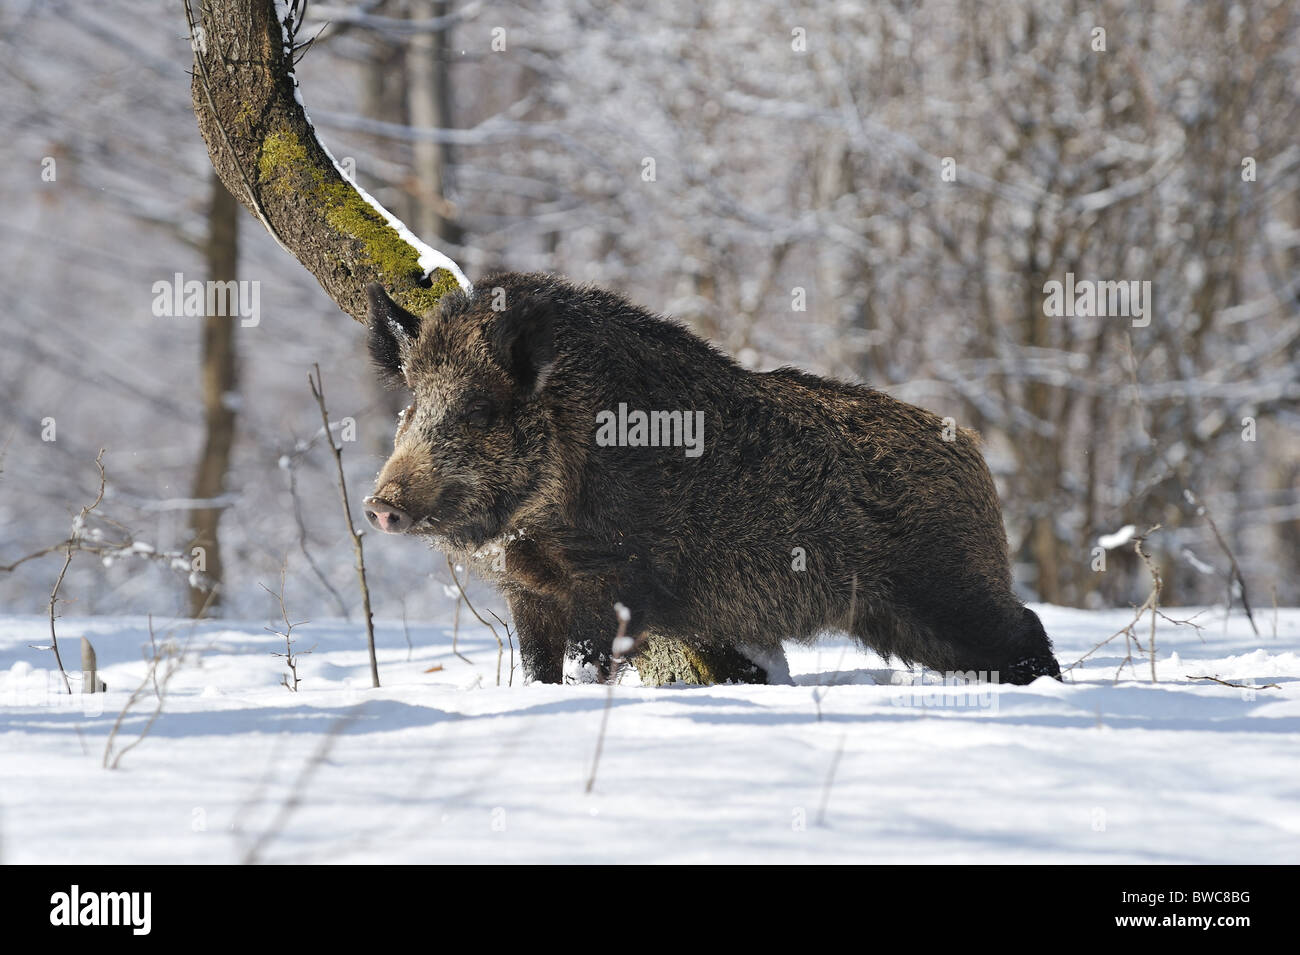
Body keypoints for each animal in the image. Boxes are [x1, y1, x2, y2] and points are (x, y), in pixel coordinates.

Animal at [362, 272, 1061, 685]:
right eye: (413, 403)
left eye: (481, 409)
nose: (378, 505)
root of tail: (973, 451)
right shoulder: (529, 593)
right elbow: (540, 670)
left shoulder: (613, 580)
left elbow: (590, 664)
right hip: (896, 616)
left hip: (947, 586)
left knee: (1026, 627)